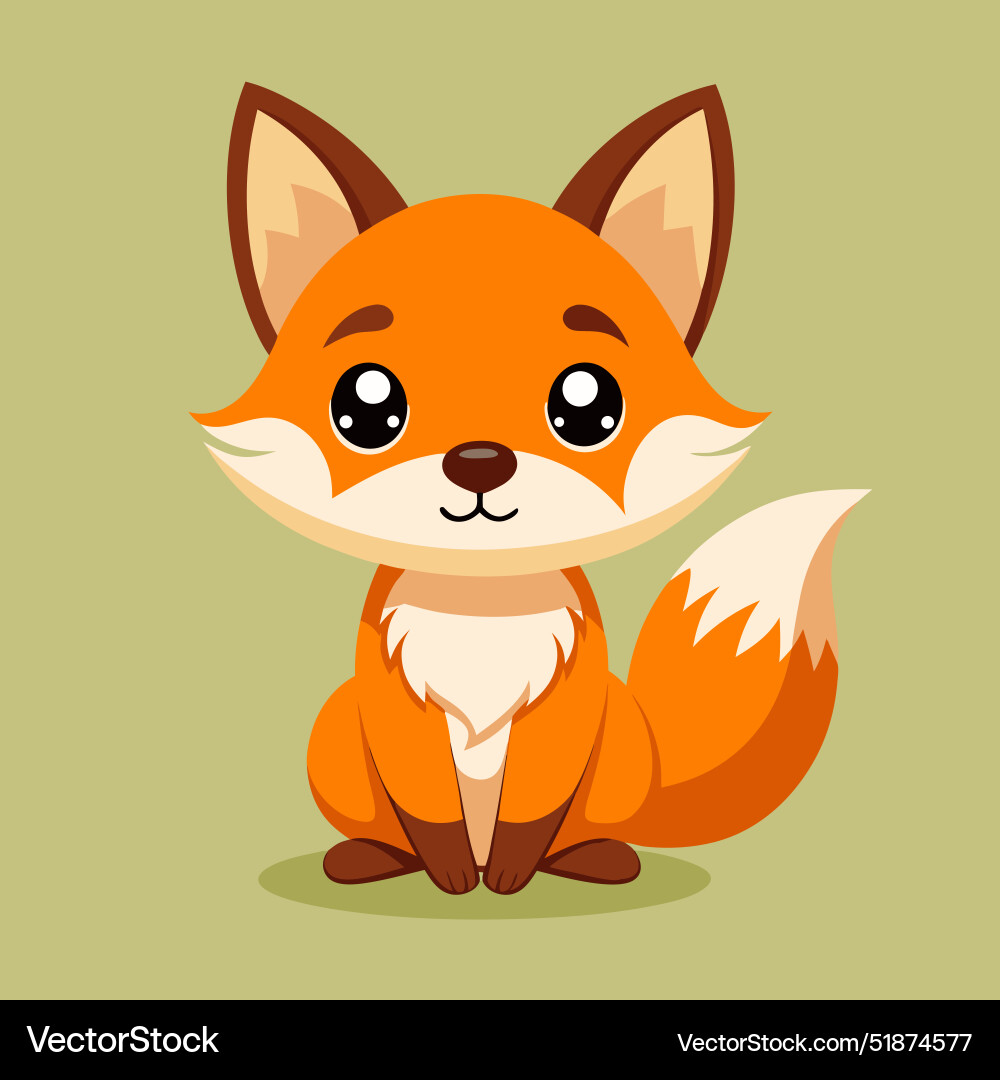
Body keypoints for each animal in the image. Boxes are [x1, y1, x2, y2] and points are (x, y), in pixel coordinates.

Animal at [193, 83, 867, 895]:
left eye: (587, 404)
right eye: (365, 407)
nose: (480, 461)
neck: (484, 605)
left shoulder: (569, 701)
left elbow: (531, 809)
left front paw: (507, 875)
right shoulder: (391, 701)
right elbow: (429, 810)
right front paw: (452, 875)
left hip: (619, 745)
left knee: (578, 830)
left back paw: (591, 859)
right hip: (334, 731)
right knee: (386, 827)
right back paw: (372, 859)